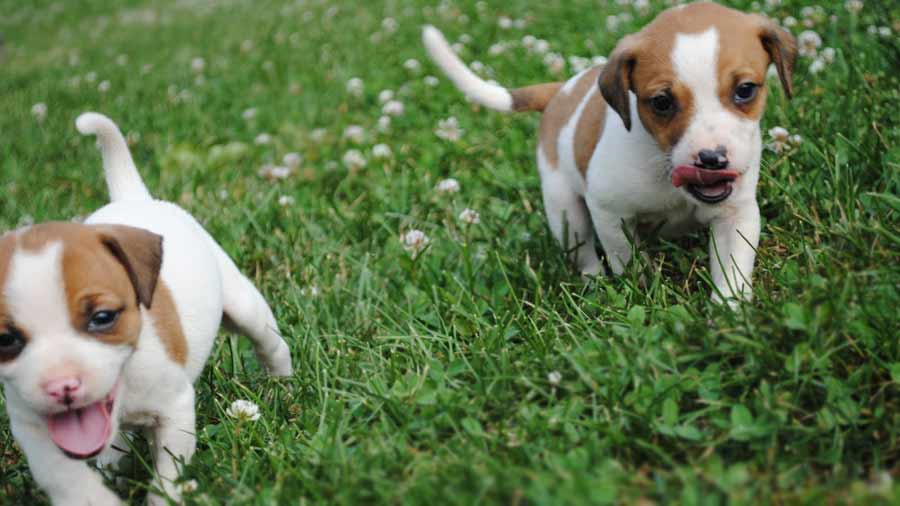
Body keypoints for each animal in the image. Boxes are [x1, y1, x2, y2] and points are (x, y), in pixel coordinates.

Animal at [0, 112, 294, 504]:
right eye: (6, 339)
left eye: (102, 318)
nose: (63, 386)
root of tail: (133, 198)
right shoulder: (31, 425)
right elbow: (62, 473)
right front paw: (93, 495)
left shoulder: (175, 411)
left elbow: (167, 477)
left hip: (243, 305)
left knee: (269, 342)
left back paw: (283, 384)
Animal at [426, 1, 800, 302]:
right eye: (661, 102)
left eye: (745, 90)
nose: (711, 159)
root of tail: (560, 90)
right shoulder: (609, 212)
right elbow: (627, 258)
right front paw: (642, 290)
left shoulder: (736, 213)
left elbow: (733, 267)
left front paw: (729, 312)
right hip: (565, 211)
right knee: (582, 251)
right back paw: (594, 282)